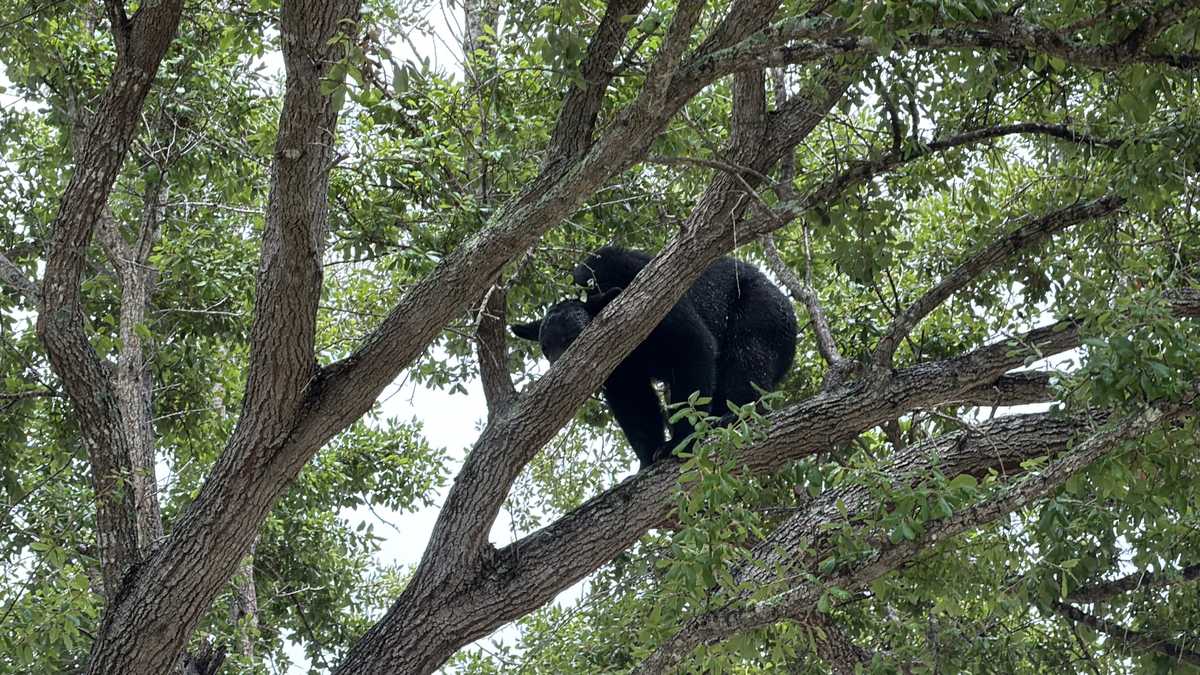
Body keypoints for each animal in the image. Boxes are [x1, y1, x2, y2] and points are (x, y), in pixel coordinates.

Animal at [511, 246, 797, 470]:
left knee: (747, 358)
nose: (557, 372)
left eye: (572, 339)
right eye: (546, 348)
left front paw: (681, 441)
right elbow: (633, 399)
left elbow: (694, 347)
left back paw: (734, 414)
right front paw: (648, 456)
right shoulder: (618, 363)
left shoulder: (656, 304)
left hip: (758, 309)